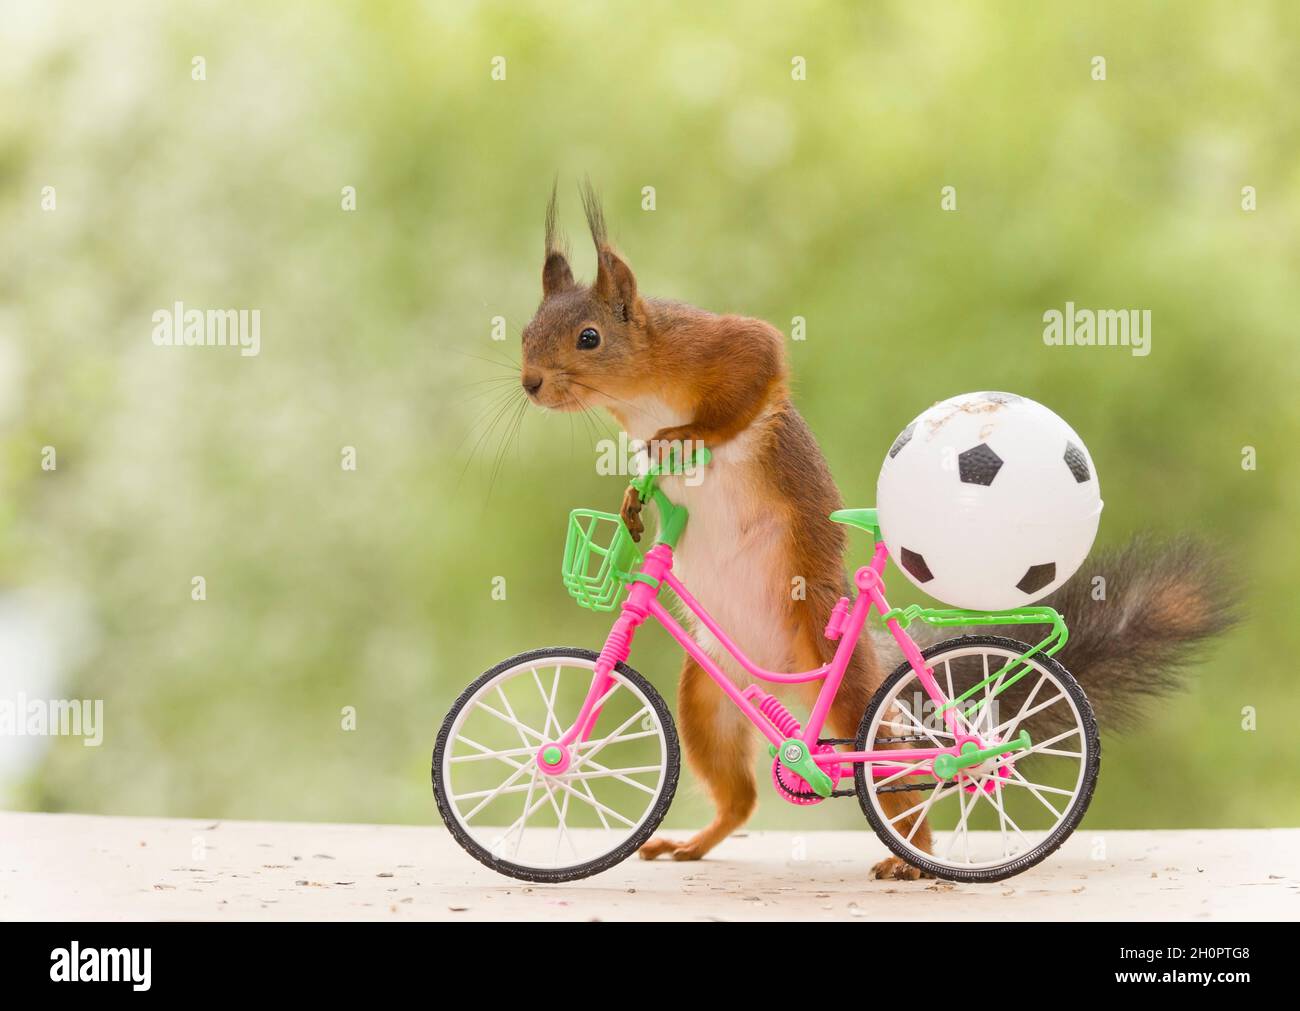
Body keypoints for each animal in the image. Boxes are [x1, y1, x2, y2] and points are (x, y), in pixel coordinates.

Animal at [519, 182, 1235, 879]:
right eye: (525, 332)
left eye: (588, 338)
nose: (529, 384)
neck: (637, 395)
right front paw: (633, 498)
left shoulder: (715, 344)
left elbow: (755, 367)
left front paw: (680, 437)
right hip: (707, 693)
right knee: (739, 797)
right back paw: (695, 842)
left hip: (846, 685)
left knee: (912, 767)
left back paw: (913, 852)